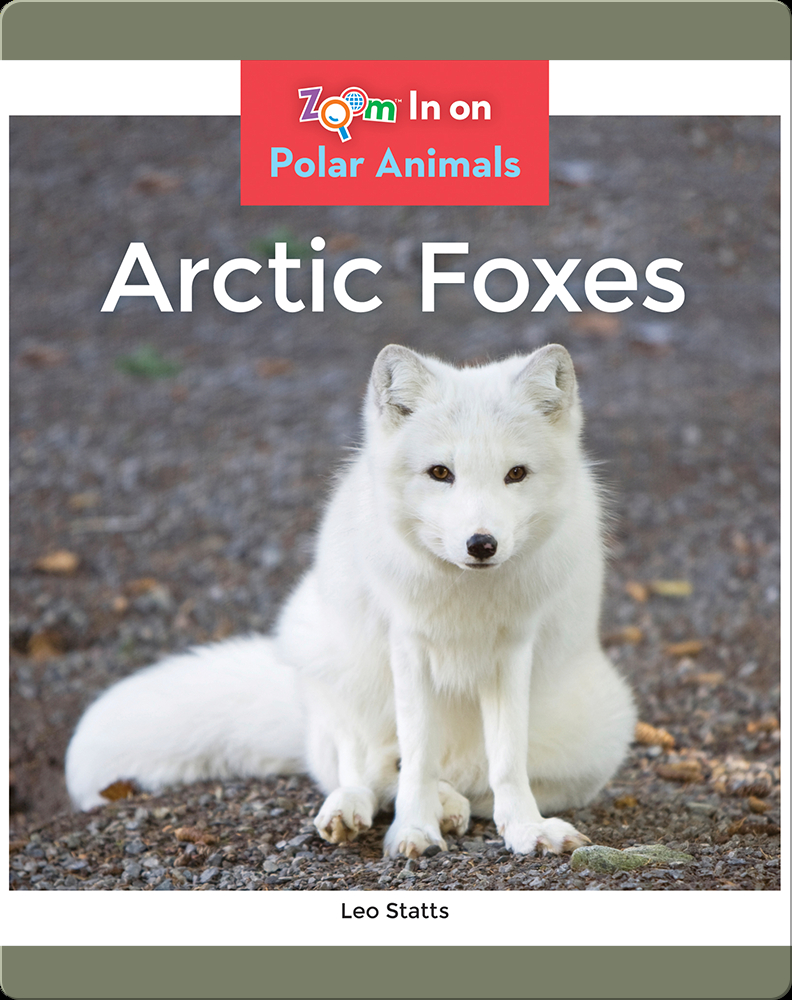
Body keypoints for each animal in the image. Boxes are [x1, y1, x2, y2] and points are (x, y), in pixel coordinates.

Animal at [65, 343, 636, 858]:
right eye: (440, 473)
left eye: (515, 473)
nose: (481, 544)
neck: (465, 599)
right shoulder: (408, 645)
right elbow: (416, 756)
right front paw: (414, 830)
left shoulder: (513, 649)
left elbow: (507, 763)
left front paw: (525, 829)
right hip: (336, 668)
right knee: (365, 767)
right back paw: (361, 808)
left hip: (599, 733)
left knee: (468, 785)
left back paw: (452, 804)